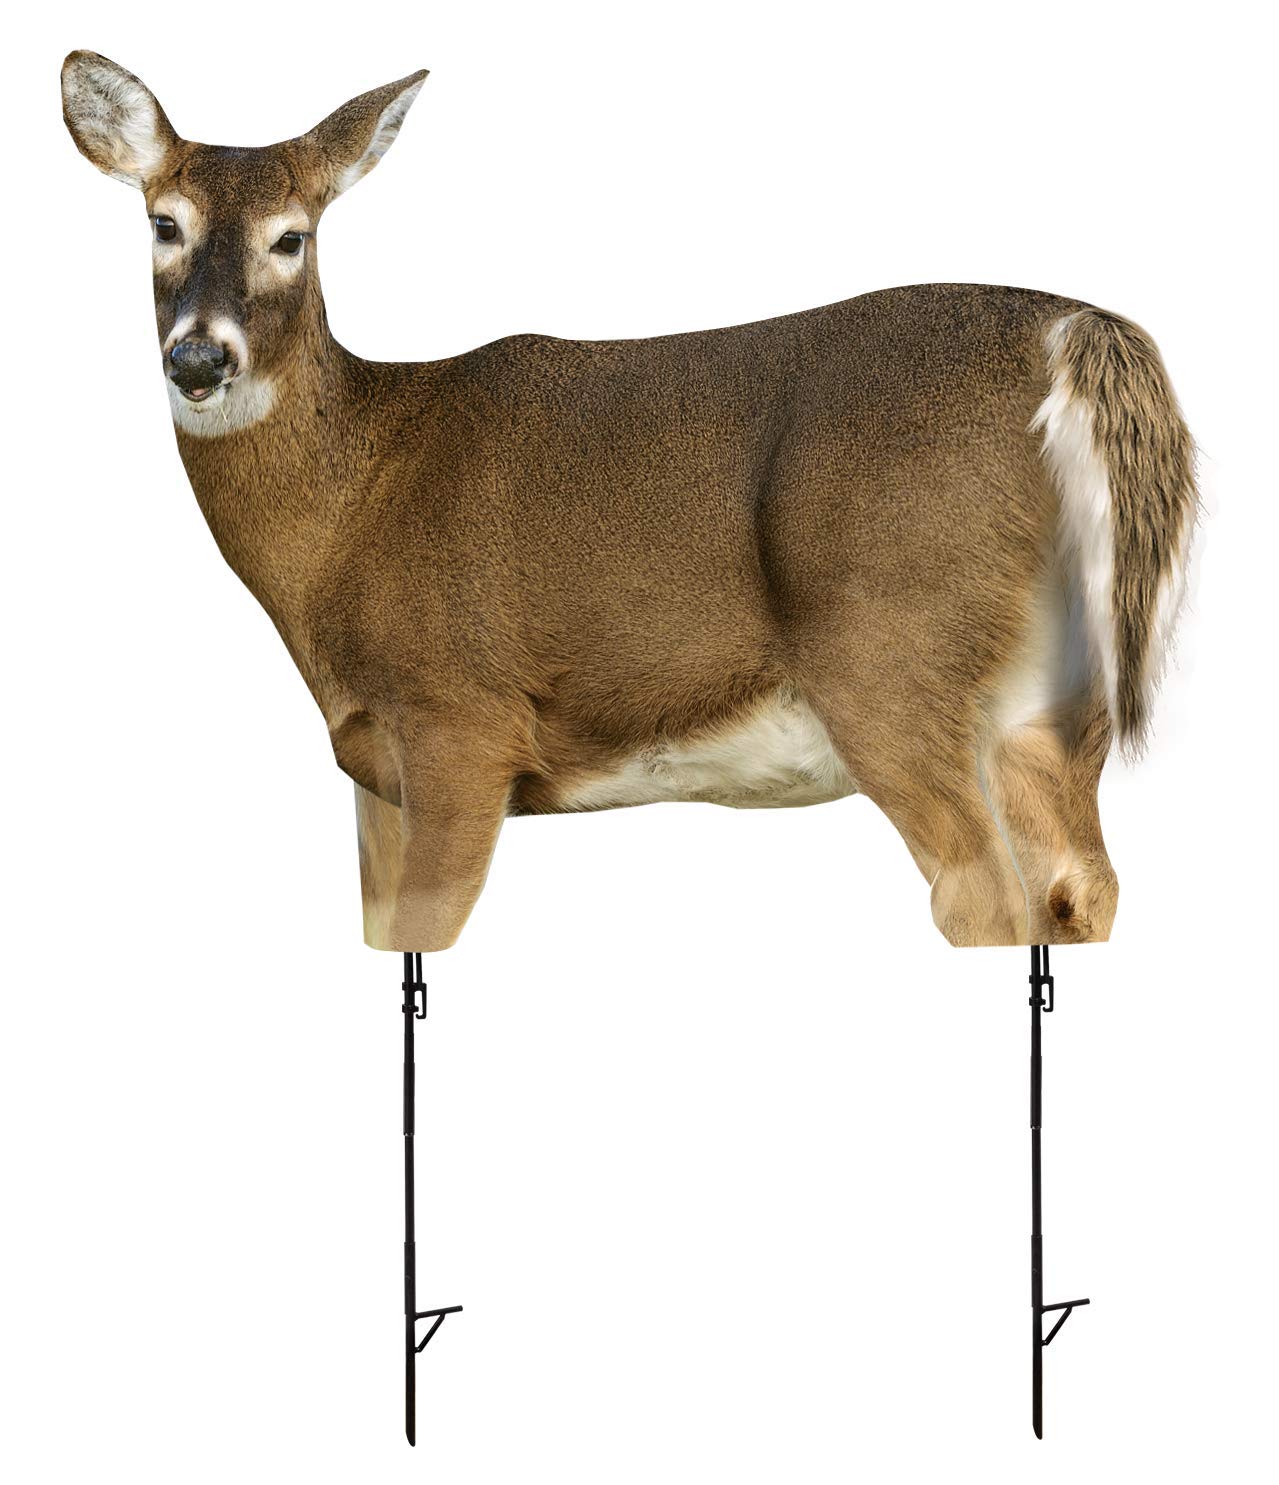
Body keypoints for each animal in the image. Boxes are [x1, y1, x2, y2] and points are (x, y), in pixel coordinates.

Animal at [61, 52, 1197, 954]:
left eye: (291, 237)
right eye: (163, 223)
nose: (199, 357)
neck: (353, 508)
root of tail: (1073, 332)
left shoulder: (459, 719)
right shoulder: (373, 767)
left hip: (892, 652)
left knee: (985, 904)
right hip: (1053, 702)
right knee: (1079, 893)